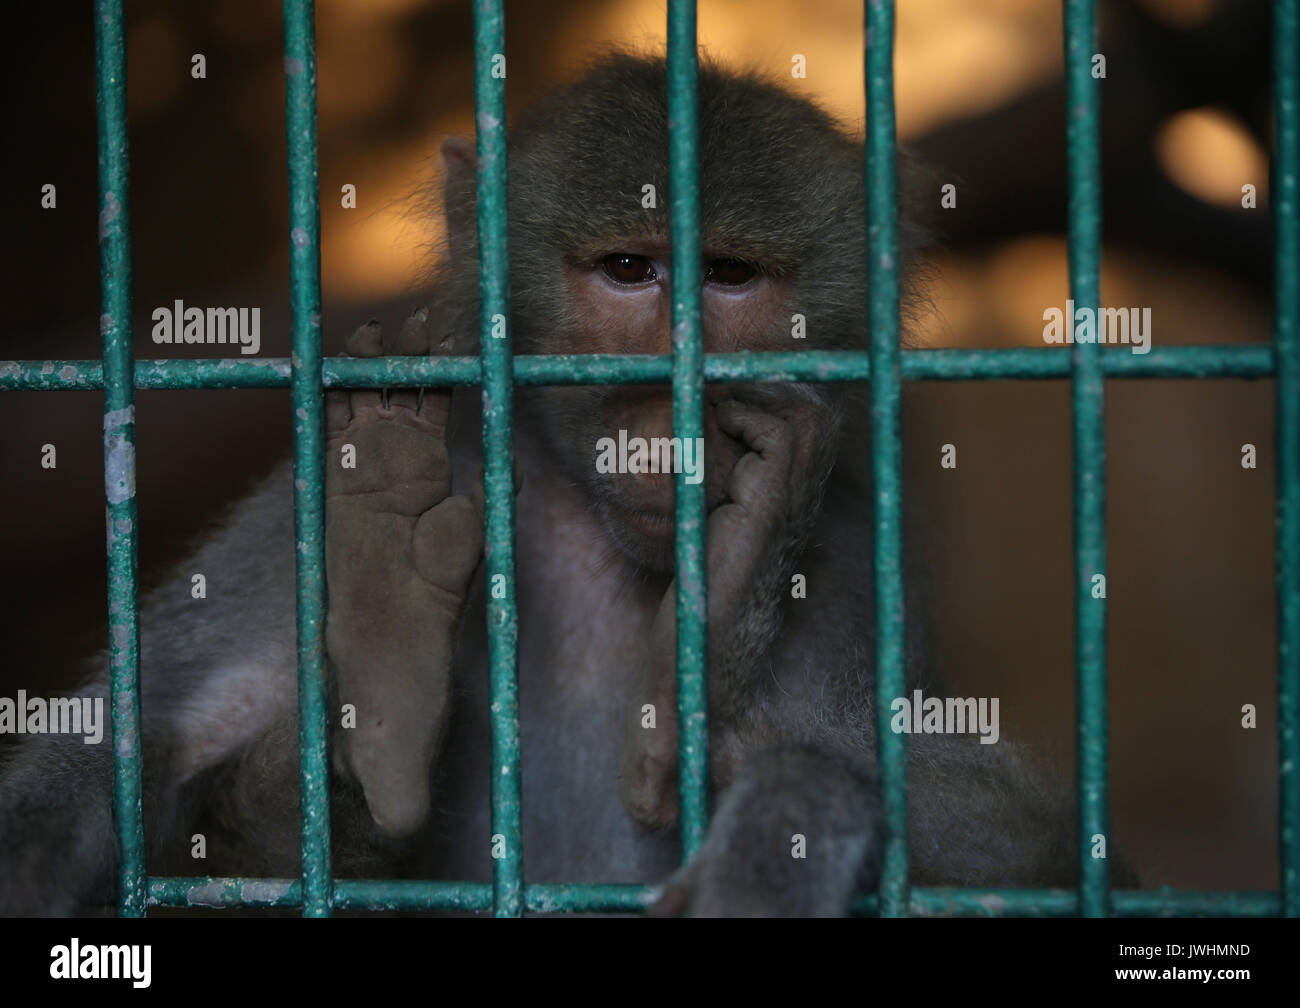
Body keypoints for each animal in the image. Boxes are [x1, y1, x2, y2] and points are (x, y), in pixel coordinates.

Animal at [0, 52, 1080, 916]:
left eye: (730, 276)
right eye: (628, 269)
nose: (671, 420)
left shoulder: (854, 538)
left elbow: (1033, 854)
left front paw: (755, 762)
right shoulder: (349, 486)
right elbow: (139, 739)